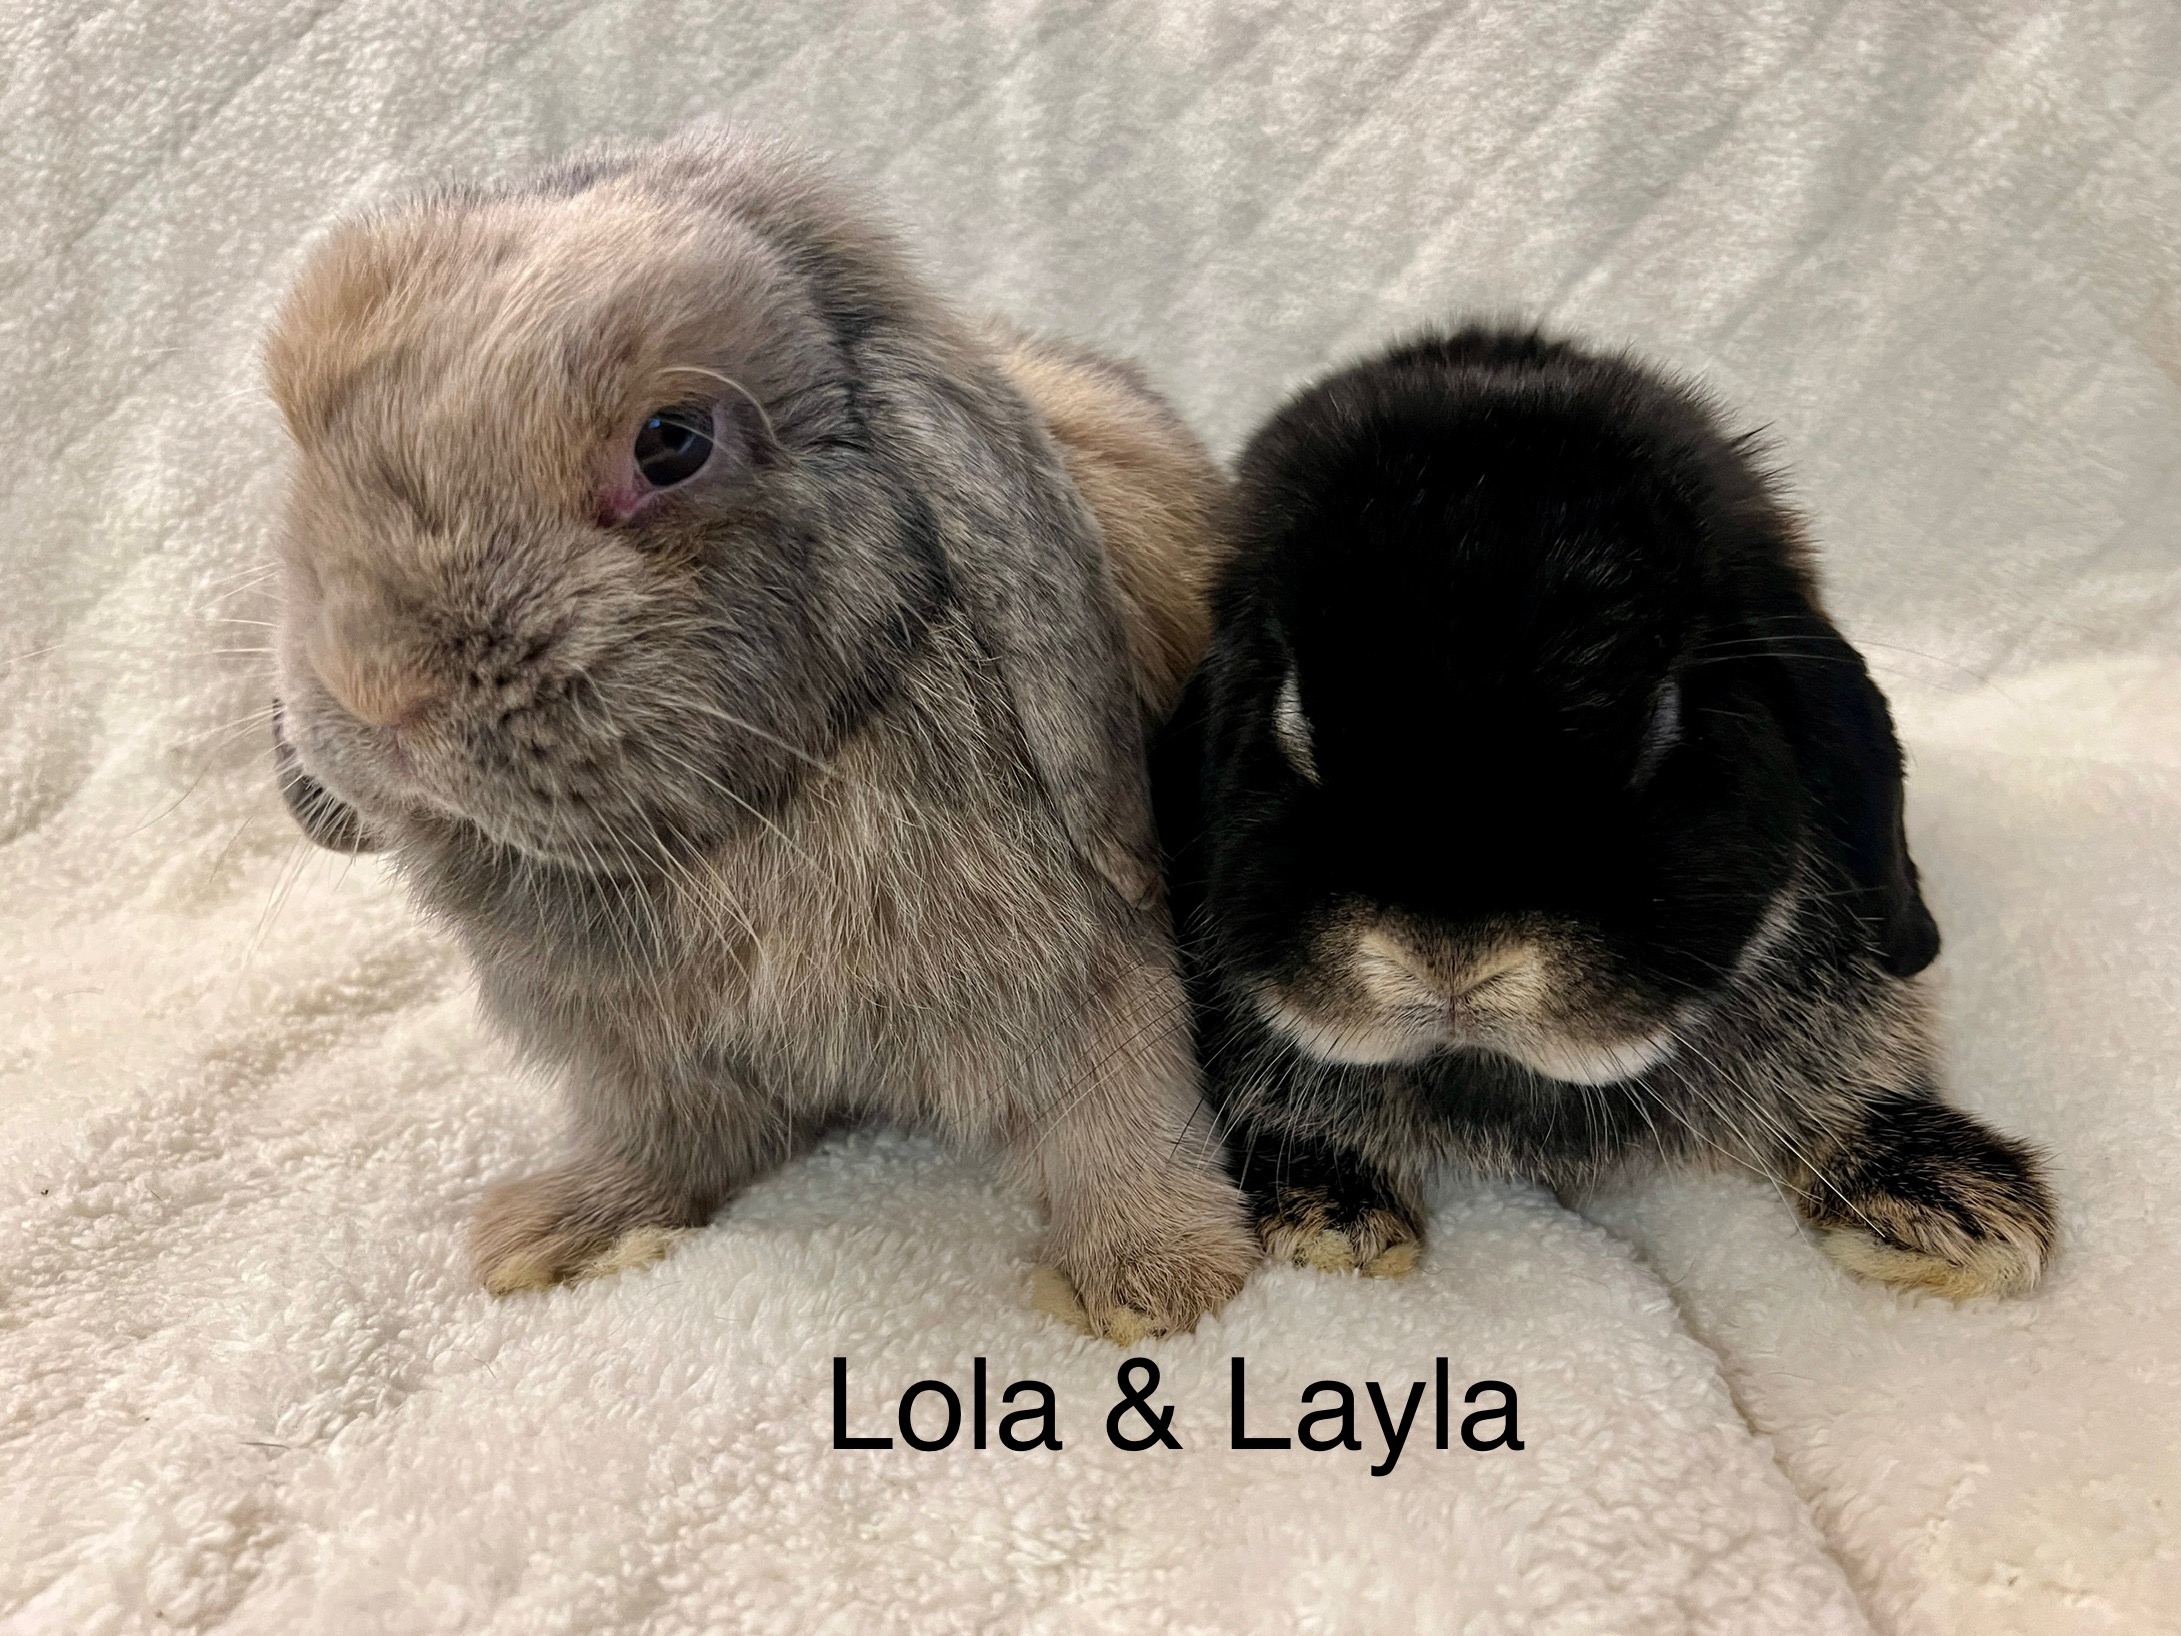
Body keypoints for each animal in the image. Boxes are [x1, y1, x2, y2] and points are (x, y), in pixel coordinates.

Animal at [261, 129, 1256, 1343]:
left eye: (671, 442)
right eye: (307, 425)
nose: (377, 690)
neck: (737, 819)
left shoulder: (1085, 980)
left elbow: (1117, 1112)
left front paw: (1156, 1281)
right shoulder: (647, 1056)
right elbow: (663, 1140)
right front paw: (563, 1232)